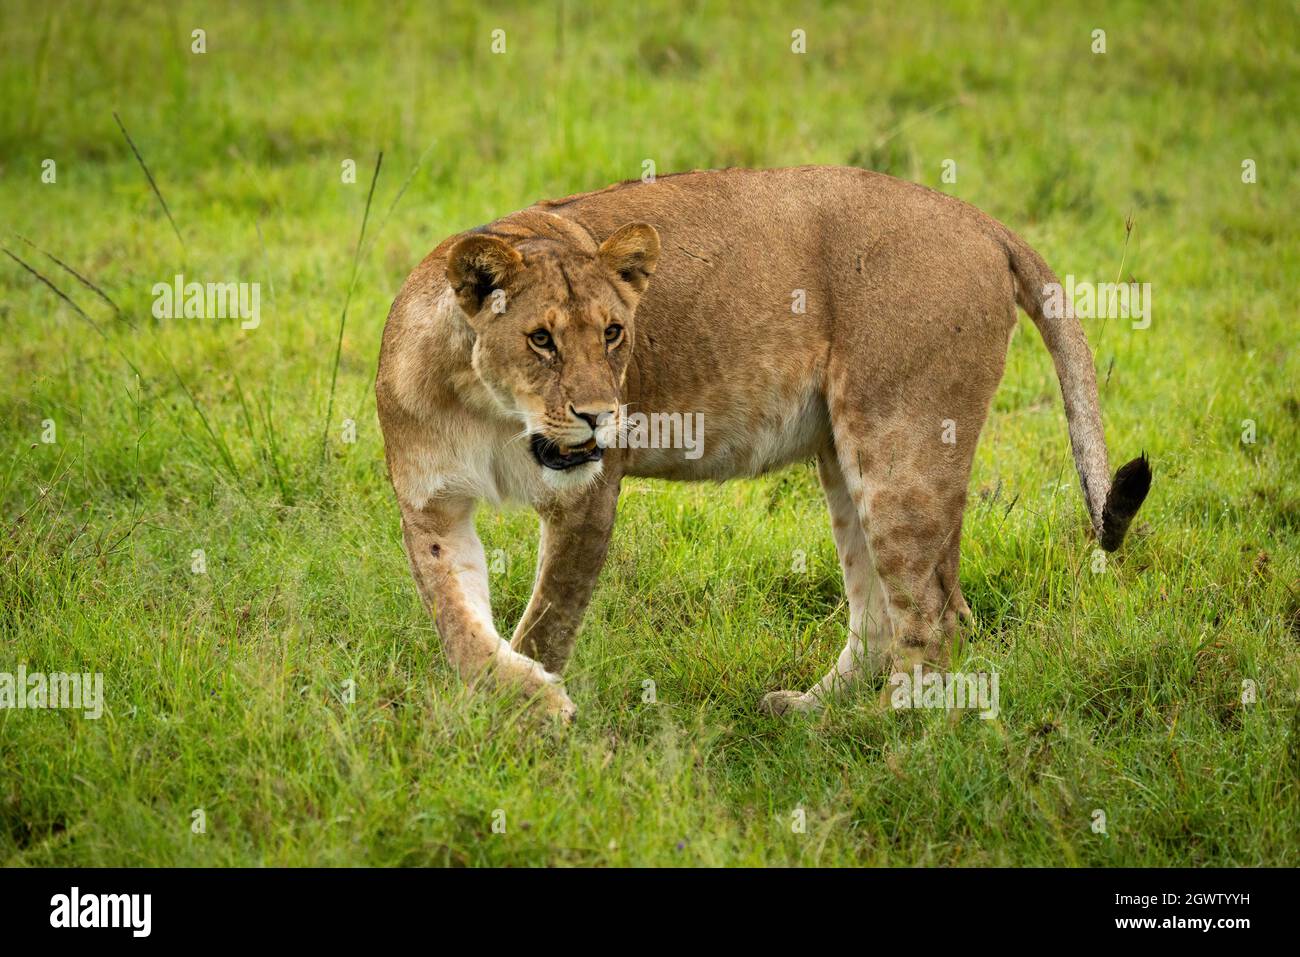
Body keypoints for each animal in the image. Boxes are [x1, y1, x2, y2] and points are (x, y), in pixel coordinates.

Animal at [375, 166, 1151, 720]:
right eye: (541, 339)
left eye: (615, 332)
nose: (601, 416)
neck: (493, 411)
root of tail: (982, 221)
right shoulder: (432, 508)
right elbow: (461, 624)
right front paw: (491, 714)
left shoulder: (588, 497)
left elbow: (545, 623)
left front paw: (535, 715)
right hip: (845, 454)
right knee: (883, 612)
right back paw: (813, 713)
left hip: (899, 444)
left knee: (935, 618)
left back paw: (886, 735)